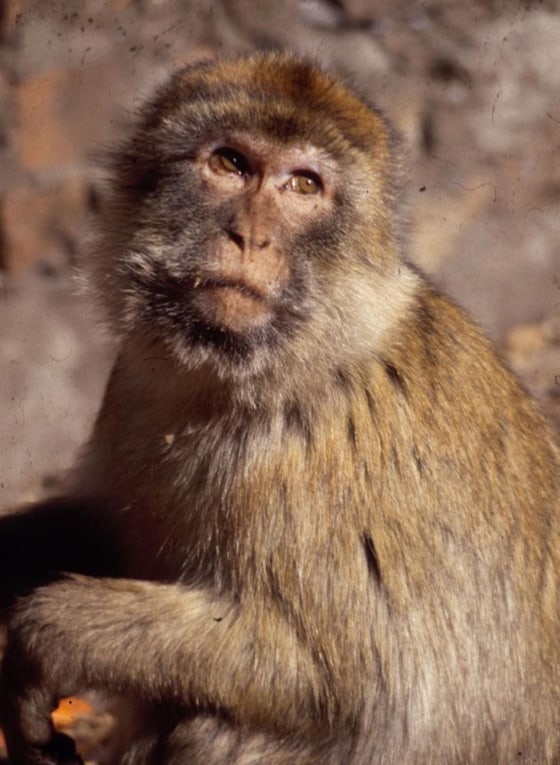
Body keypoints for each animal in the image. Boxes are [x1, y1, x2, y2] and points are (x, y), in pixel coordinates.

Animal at [0, 51, 559, 765]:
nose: (250, 236)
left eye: (303, 186)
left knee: (221, 728)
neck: (256, 372)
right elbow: (106, 524)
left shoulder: (315, 462)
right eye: (231, 163)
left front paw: (46, 634)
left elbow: (337, 681)